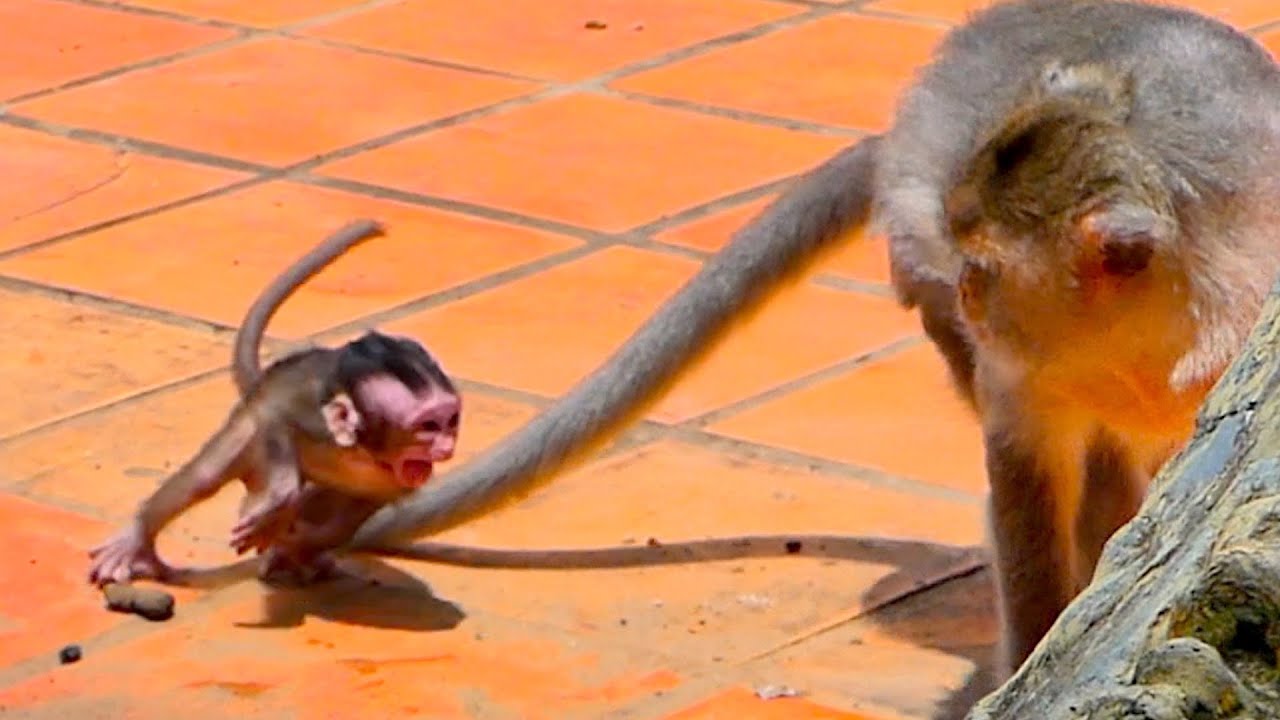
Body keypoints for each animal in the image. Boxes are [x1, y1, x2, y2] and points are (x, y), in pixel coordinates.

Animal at [88, 219, 463, 586]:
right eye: (428, 426)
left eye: (451, 422)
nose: (446, 446)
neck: (363, 449)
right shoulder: (307, 416)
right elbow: (278, 422)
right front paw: (283, 501)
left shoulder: (391, 480)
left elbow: (350, 515)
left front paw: (293, 547)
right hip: (249, 424)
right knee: (208, 475)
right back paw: (139, 540)